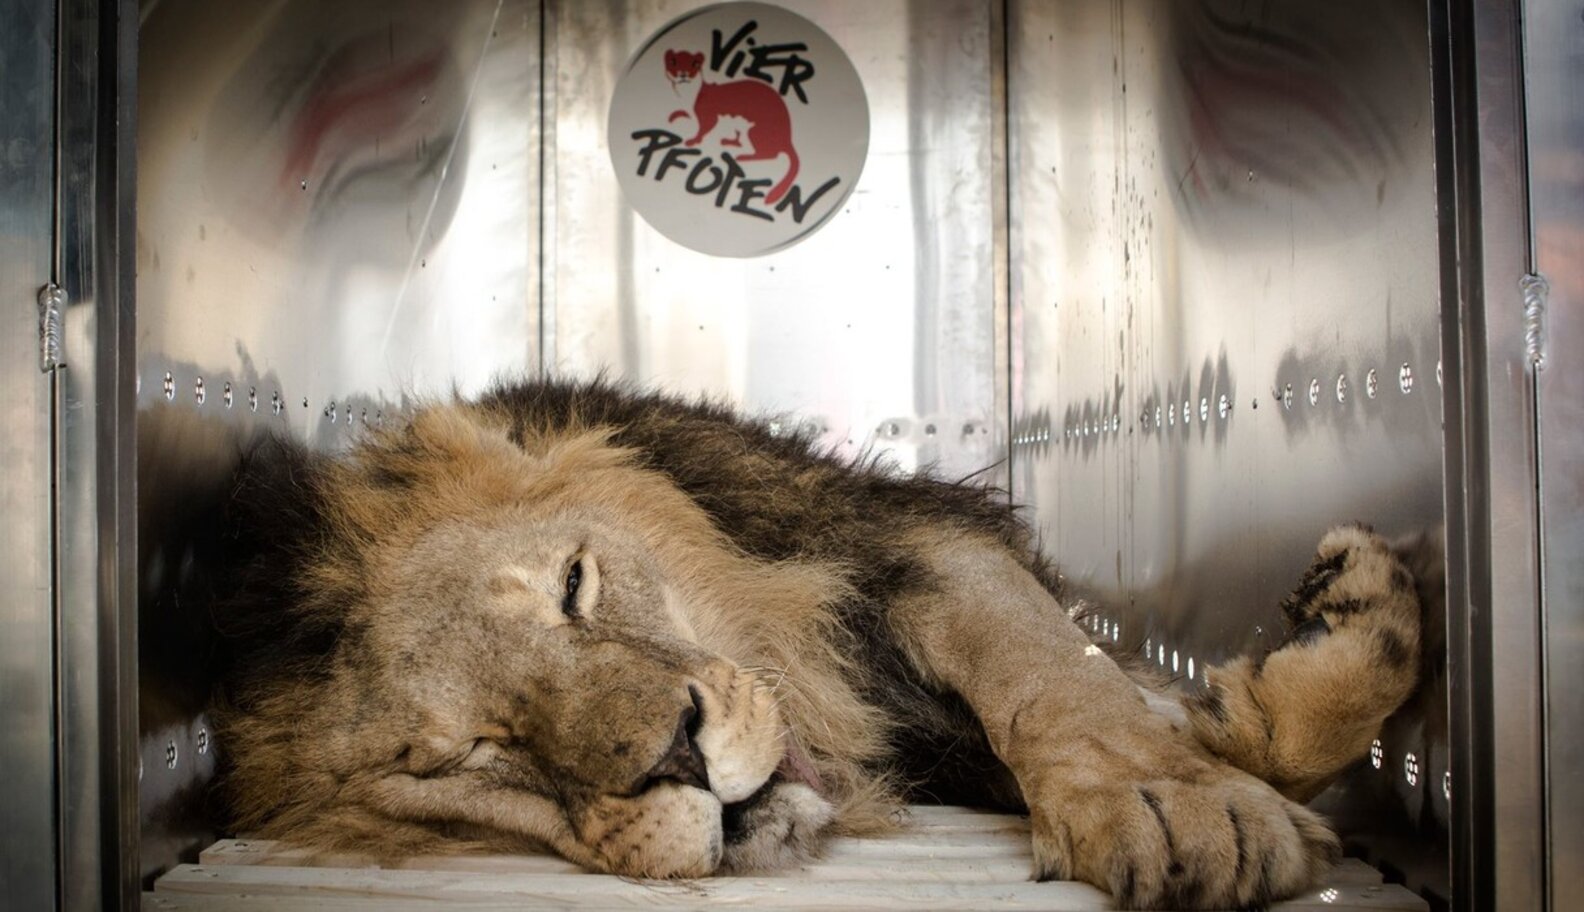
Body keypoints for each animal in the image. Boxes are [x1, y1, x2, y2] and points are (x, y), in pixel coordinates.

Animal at [210, 378, 1424, 910]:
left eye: (573, 586)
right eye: (463, 756)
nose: (679, 757)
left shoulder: (897, 534)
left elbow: (1057, 670)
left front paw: (1176, 797)